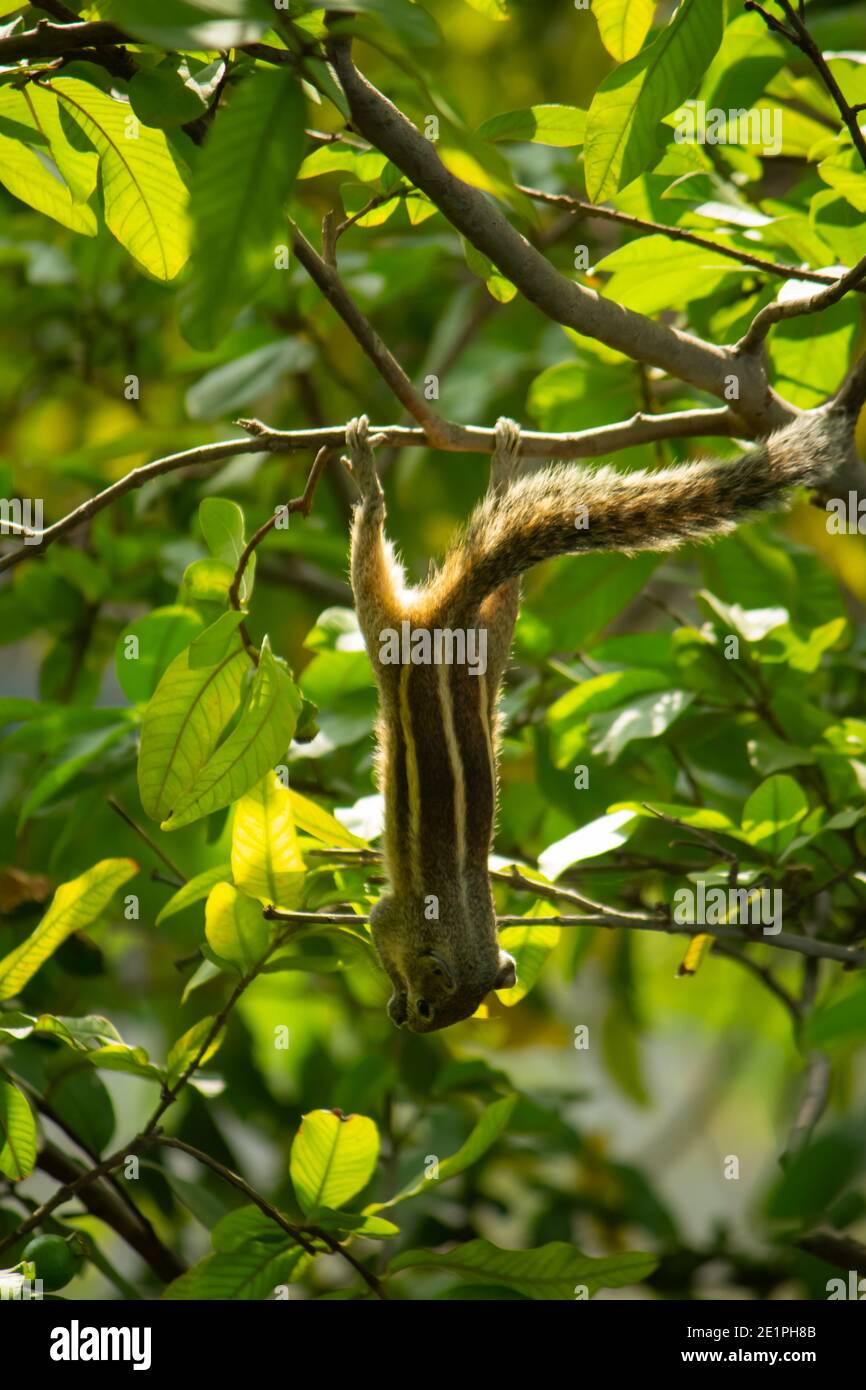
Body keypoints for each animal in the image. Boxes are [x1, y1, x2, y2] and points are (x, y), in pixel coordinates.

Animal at [343, 410, 843, 1032]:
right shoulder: (399, 917)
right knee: (370, 559)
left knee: (488, 582)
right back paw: (373, 477)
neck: (461, 927)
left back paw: (499, 472)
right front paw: (390, 987)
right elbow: (380, 920)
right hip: (394, 639)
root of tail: (451, 621)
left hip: (482, 643)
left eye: (436, 1010)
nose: (408, 1022)